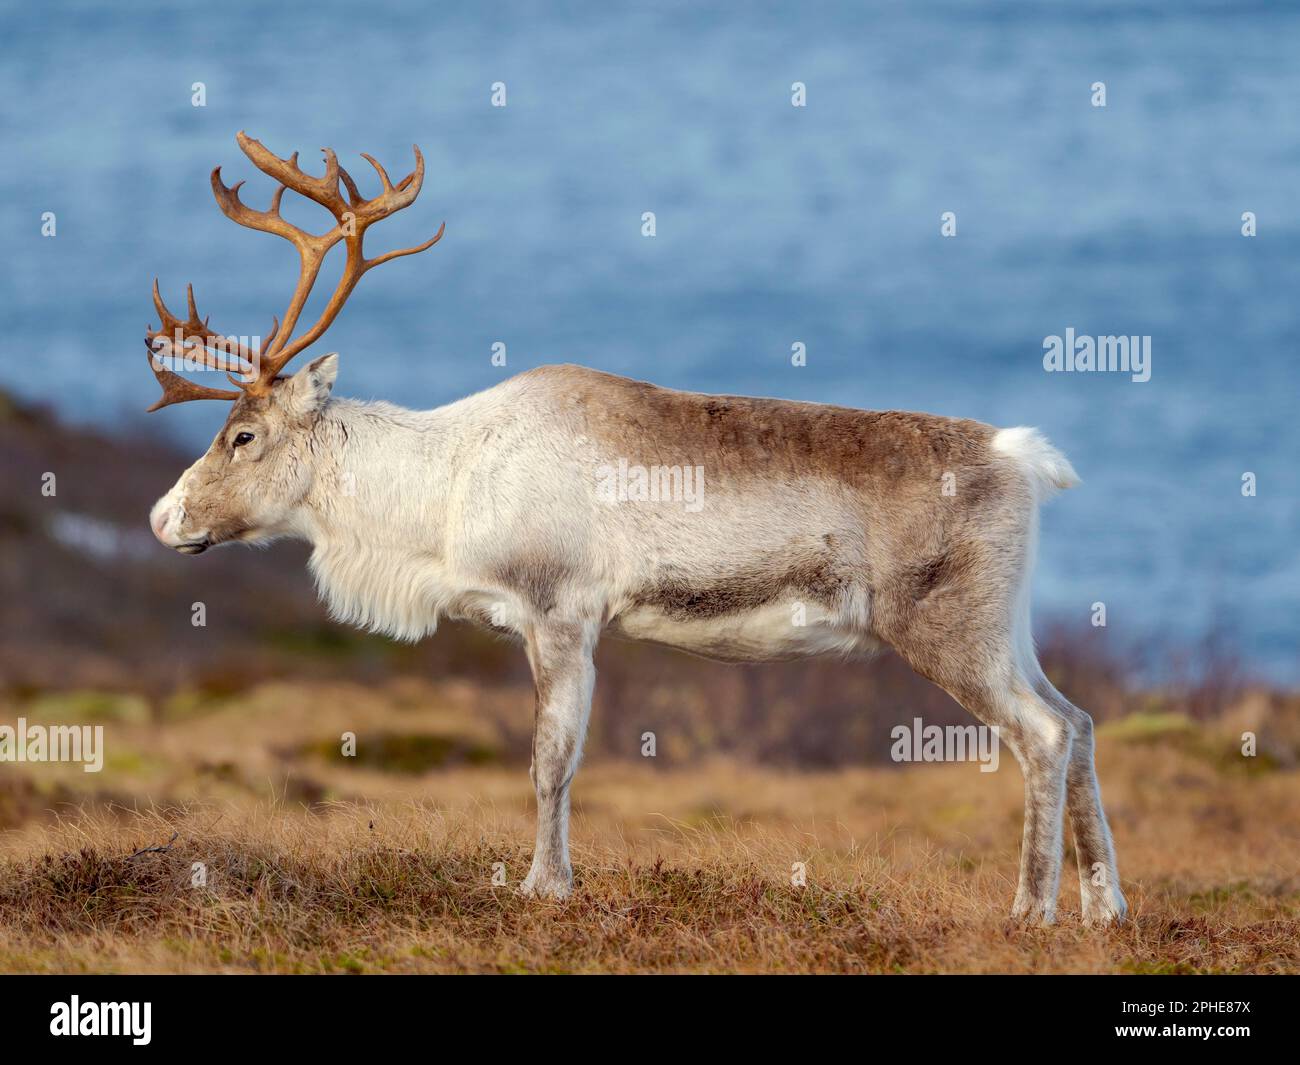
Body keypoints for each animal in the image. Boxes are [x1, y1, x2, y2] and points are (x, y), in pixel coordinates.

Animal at [145, 132, 1127, 924]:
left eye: (242, 435)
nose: (163, 517)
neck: (443, 491)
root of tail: (1021, 456)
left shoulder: (560, 613)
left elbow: (551, 760)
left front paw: (544, 886)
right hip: (1006, 626)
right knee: (1078, 720)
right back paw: (1104, 908)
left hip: (946, 628)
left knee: (1041, 735)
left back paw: (1029, 909)